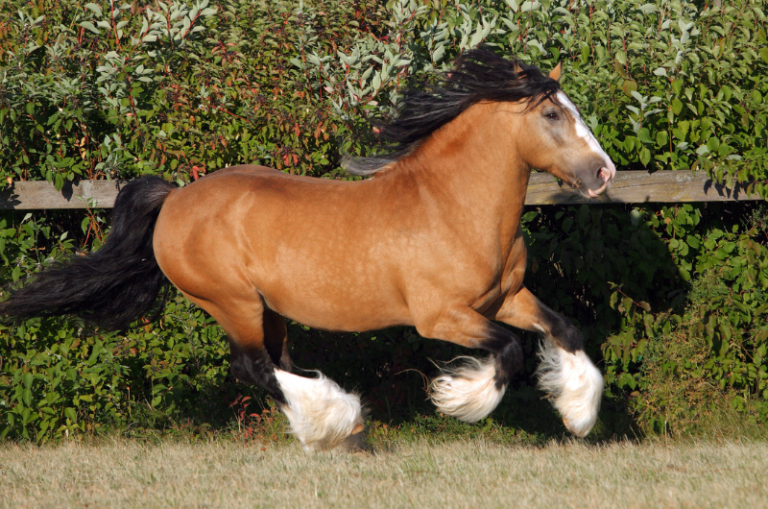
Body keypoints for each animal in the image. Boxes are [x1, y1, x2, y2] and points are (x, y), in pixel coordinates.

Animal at [0, 49, 615, 451]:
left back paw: (334, 428)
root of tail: (174, 199)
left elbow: (564, 329)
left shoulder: (505, 298)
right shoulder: (442, 317)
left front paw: (579, 416)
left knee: (277, 363)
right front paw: (459, 399)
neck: (450, 206)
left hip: (267, 307)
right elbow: (508, 352)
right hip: (231, 302)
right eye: (551, 114)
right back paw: (338, 422)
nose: (603, 173)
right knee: (254, 366)